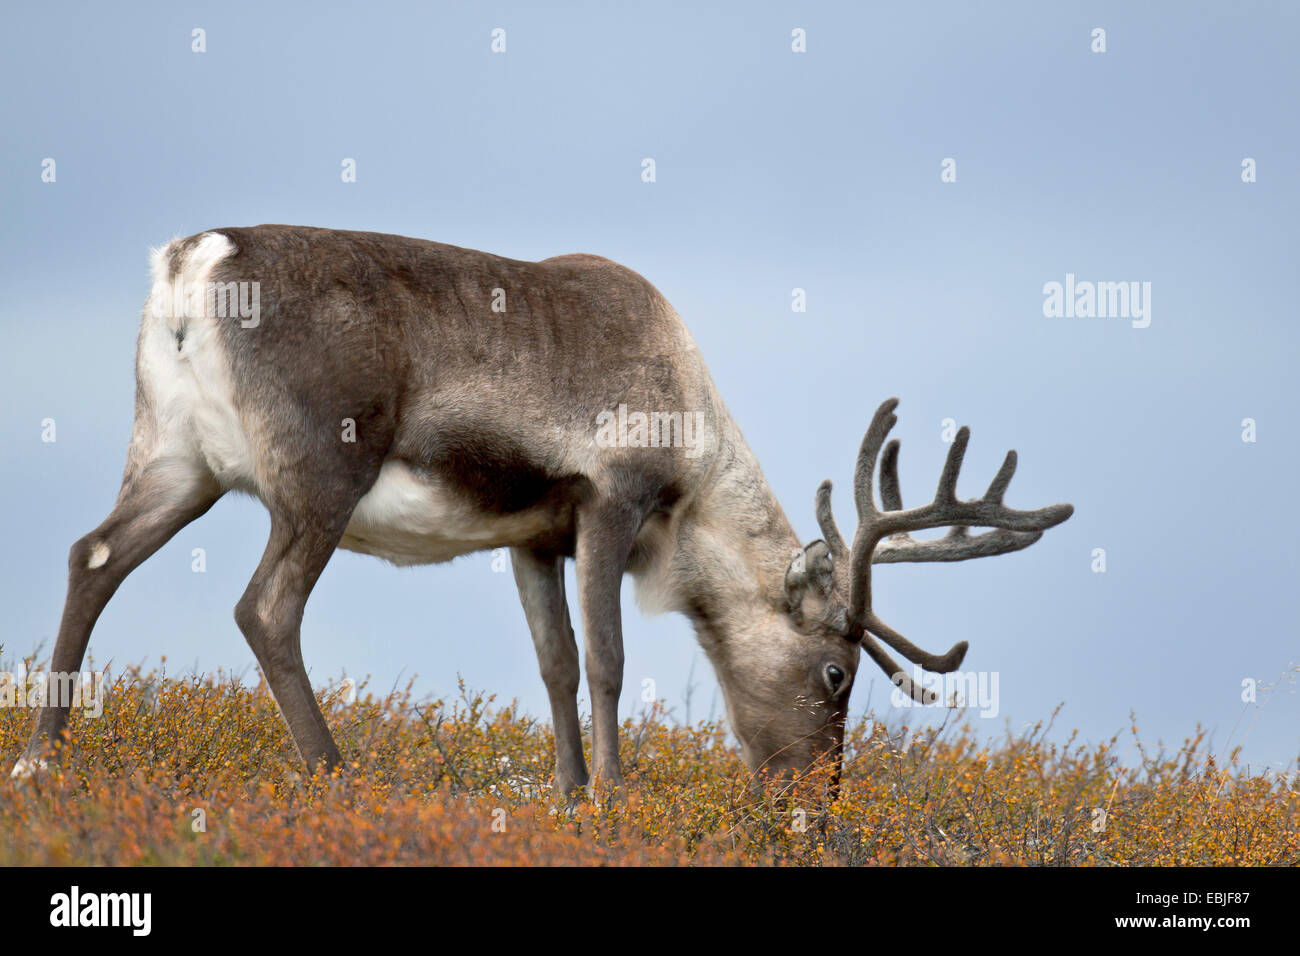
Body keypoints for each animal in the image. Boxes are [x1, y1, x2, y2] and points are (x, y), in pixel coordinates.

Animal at [10, 225, 1073, 800]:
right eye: (836, 671)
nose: (812, 797)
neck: (694, 462)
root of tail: (193, 261)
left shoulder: (530, 536)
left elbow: (554, 664)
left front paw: (568, 794)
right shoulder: (609, 499)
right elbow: (607, 661)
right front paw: (616, 795)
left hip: (176, 458)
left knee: (92, 555)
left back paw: (38, 759)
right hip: (319, 475)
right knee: (264, 608)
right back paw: (335, 775)